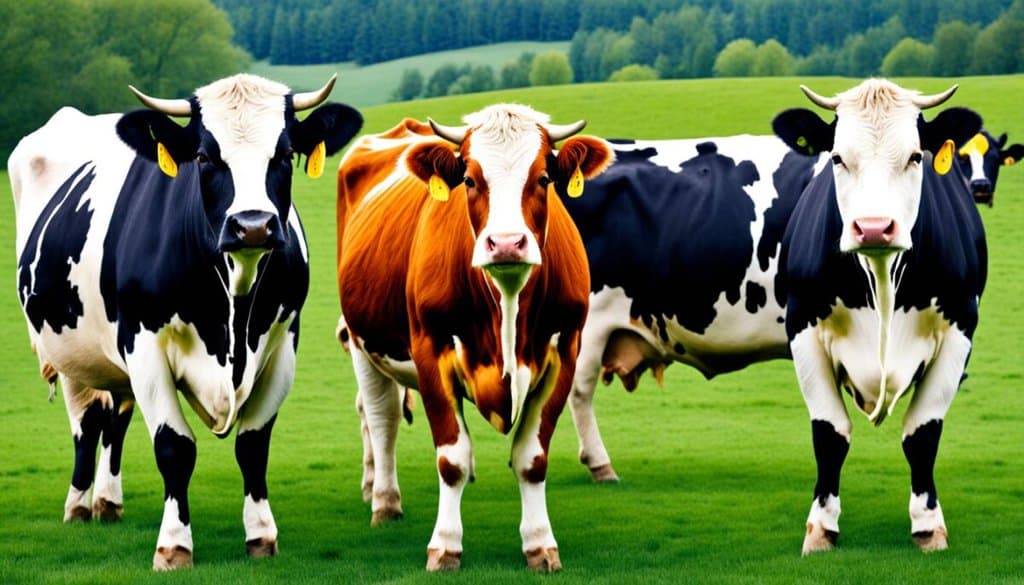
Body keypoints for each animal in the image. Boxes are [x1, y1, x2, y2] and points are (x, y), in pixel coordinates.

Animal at [8, 74, 362, 569]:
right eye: (203, 156)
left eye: (284, 154)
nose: (253, 225)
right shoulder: (144, 345)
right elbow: (175, 447)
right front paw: (174, 545)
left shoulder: (283, 345)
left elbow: (253, 445)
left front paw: (261, 536)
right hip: (68, 347)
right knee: (87, 422)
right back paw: (77, 506)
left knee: (115, 419)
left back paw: (107, 503)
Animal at [336, 106, 614, 571]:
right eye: (469, 179)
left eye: (543, 177)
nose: (506, 244)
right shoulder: (431, 352)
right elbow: (451, 459)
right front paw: (445, 546)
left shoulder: (565, 352)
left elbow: (532, 458)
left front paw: (540, 545)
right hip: (361, 340)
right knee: (382, 419)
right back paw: (385, 503)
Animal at [772, 79, 984, 554]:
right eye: (837, 157)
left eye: (915, 156)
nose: (872, 227)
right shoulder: (802, 327)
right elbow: (829, 433)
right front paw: (821, 528)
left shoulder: (960, 327)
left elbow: (922, 433)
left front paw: (928, 525)